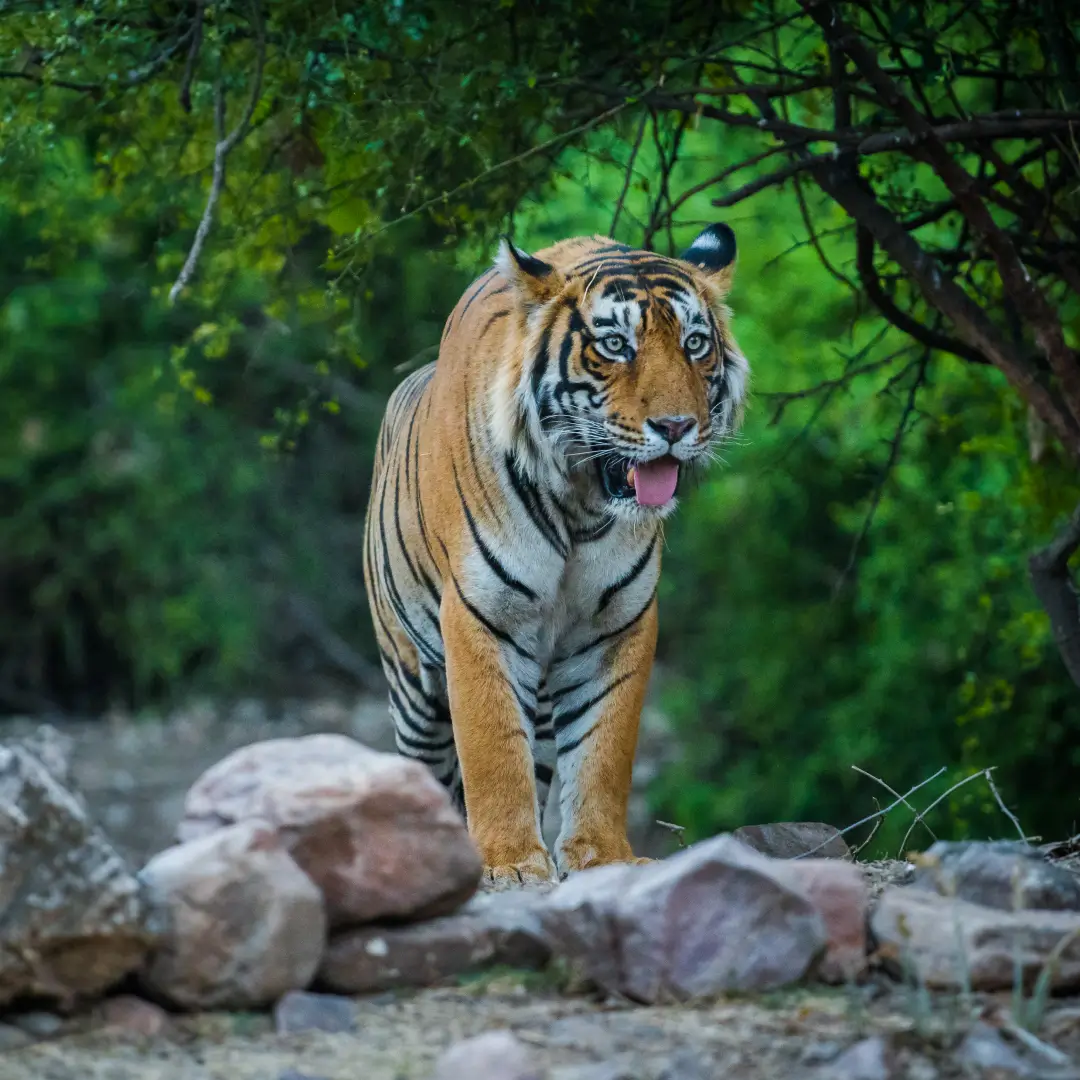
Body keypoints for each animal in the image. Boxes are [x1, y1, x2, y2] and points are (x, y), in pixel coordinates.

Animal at [363, 223, 749, 888]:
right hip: (411, 683)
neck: (581, 507)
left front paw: (603, 857)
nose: (676, 426)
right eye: (616, 345)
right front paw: (510, 864)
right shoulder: (481, 615)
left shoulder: (617, 625)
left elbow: (604, 750)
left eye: (696, 344)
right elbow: (491, 748)